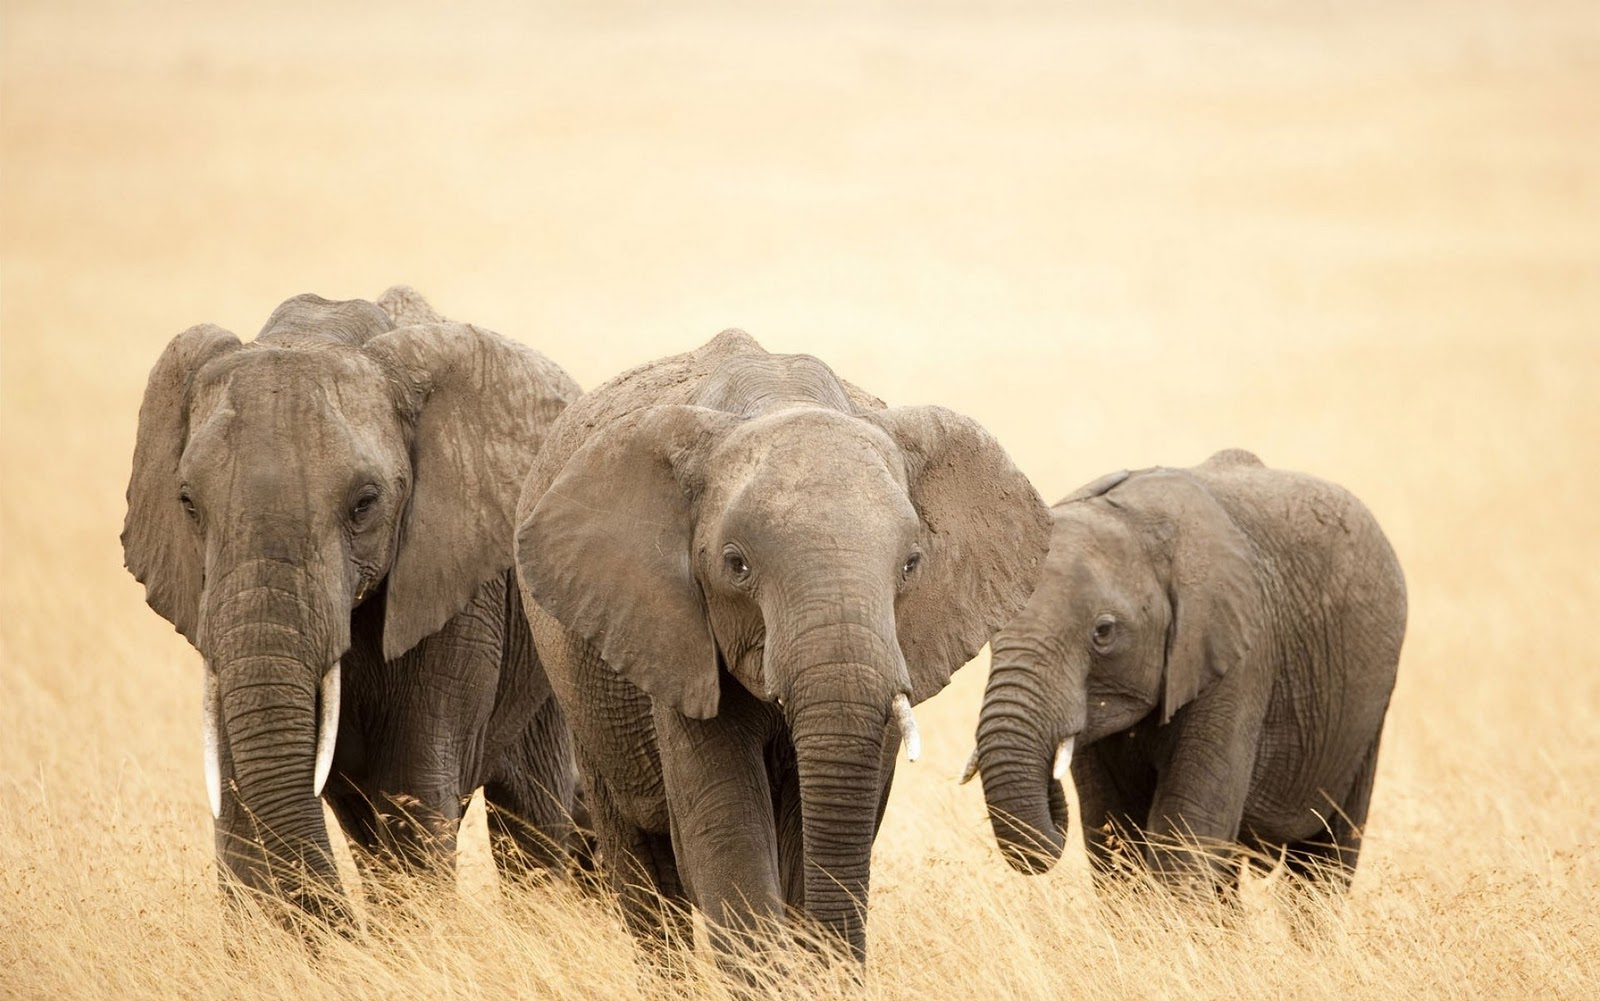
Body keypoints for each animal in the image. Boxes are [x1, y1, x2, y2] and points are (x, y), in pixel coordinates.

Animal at [122, 286, 586, 924]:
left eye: (365, 504)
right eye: (188, 503)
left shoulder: (458, 590)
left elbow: (411, 788)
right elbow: (241, 789)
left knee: (532, 815)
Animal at [966, 449, 1406, 892]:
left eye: (1103, 632)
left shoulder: (1239, 655)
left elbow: (1186, 832)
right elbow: (1113, 832)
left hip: (1367, 714)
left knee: (1323, 859)